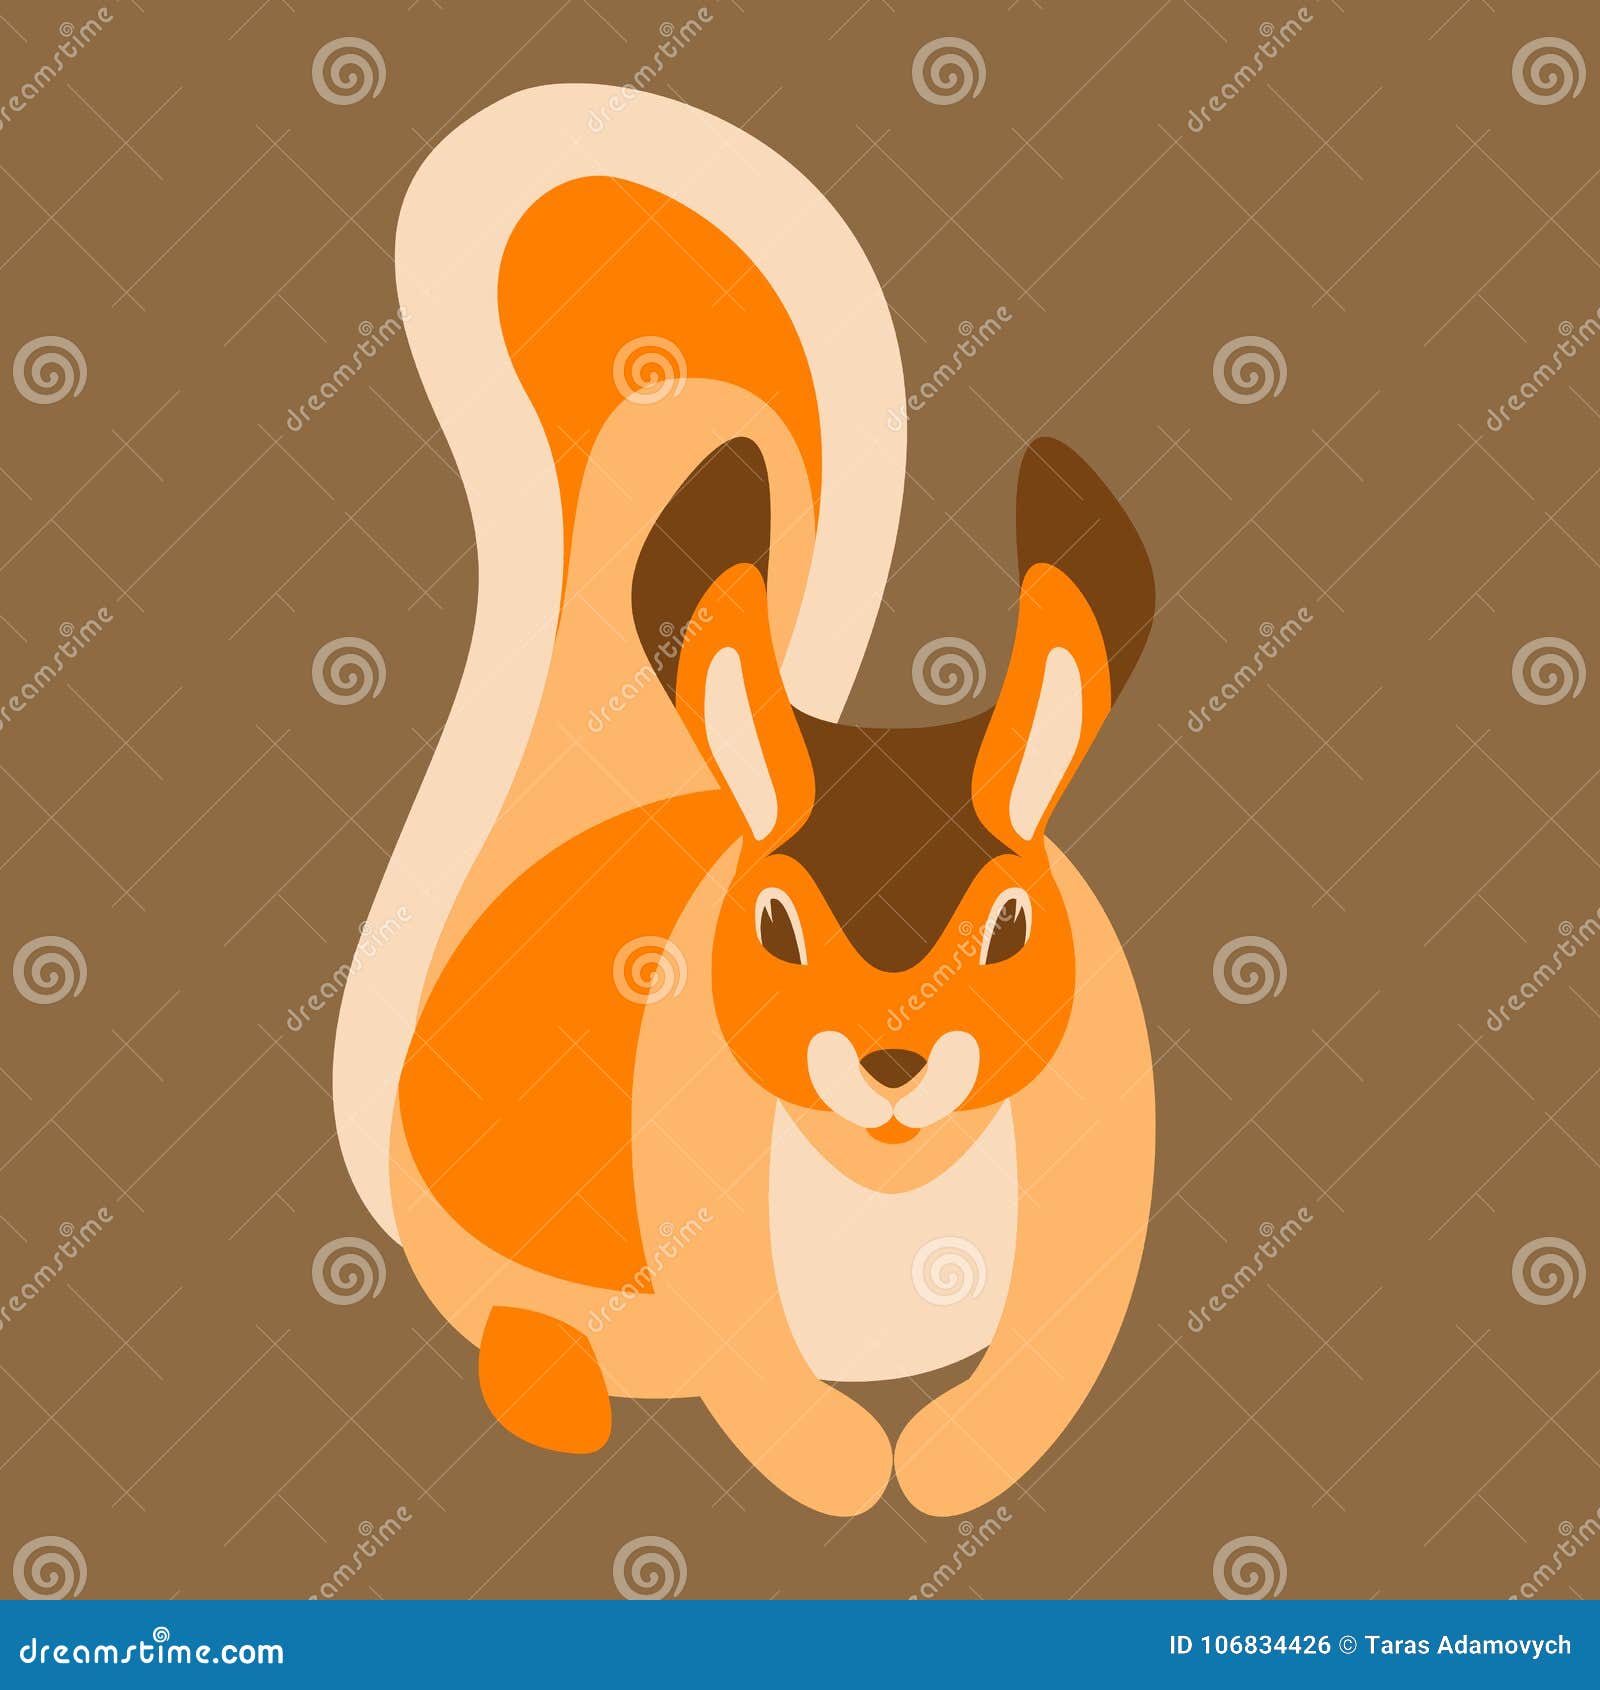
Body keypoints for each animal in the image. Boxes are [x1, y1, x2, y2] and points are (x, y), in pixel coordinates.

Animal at [332, 85, 1157, 1520]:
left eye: (1011, 928)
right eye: (771, 924)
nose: (892, 1064)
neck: (889, 1163)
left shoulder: (1103, 1110)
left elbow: (1068, 1320)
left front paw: (953, 1463)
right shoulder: (690, 1140)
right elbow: (744, 1332)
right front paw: (837, 1468)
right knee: (547, 1325)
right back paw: (557, 1390)